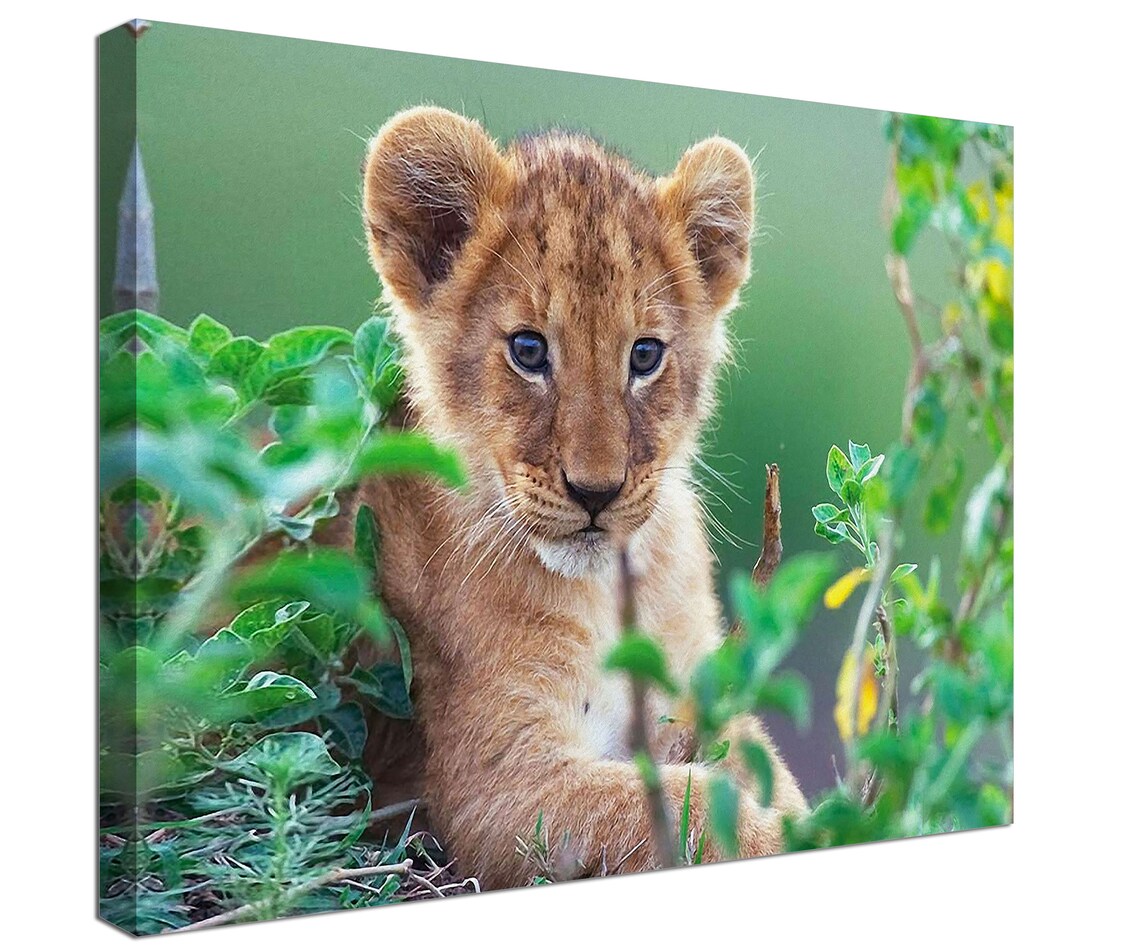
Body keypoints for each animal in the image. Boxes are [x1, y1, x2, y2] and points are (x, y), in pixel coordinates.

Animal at [347, 106, 806, 889]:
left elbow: (765, 771)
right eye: (529, 351)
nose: (597, 491)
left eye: (645, 355)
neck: (611, 593)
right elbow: (666, 807)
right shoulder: (488, 788)